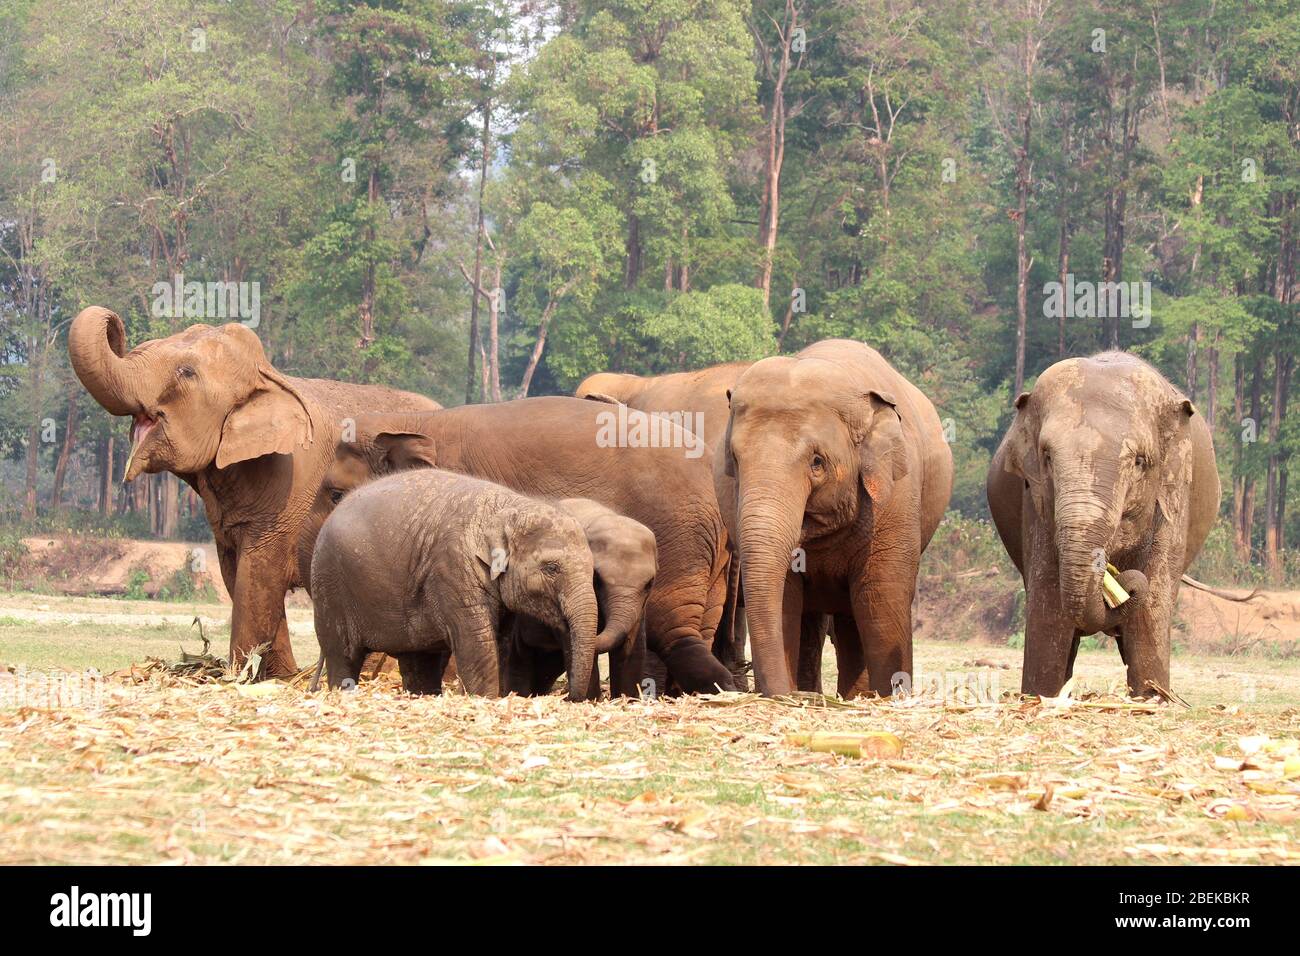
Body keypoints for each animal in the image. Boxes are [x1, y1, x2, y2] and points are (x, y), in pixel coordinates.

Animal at [68, 306, 440, 677]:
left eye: (186, 372)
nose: (115, 324)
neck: (268, 377)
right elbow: (237, 577)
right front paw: (280, 676)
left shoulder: (289, 494)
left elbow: (257, 580)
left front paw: (239, 676)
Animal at [310, 468, 601, 701]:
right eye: (552, 568)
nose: (568, 697)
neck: (512, 505)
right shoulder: (453, 568)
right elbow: (478, 641)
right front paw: (483, 699)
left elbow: (500, 640)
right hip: (329, 585)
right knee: (343, 654)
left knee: (418, 658)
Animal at [718, 339, 954, 698]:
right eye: (734, 458)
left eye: (817, 462)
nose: (779, 694)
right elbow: (786, 601)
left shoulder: (896, 497)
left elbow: (881, 598)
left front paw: (889, 698)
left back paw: (856, 696)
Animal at [986, 352, 1225, 697]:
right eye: (1046, 457)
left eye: (1139, 461)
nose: (1122, 583)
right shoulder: (1035, 502)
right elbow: (1048, 605)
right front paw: (1041, 697)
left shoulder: (1174, 496)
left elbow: (1151, 607)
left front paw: (1152, 698)